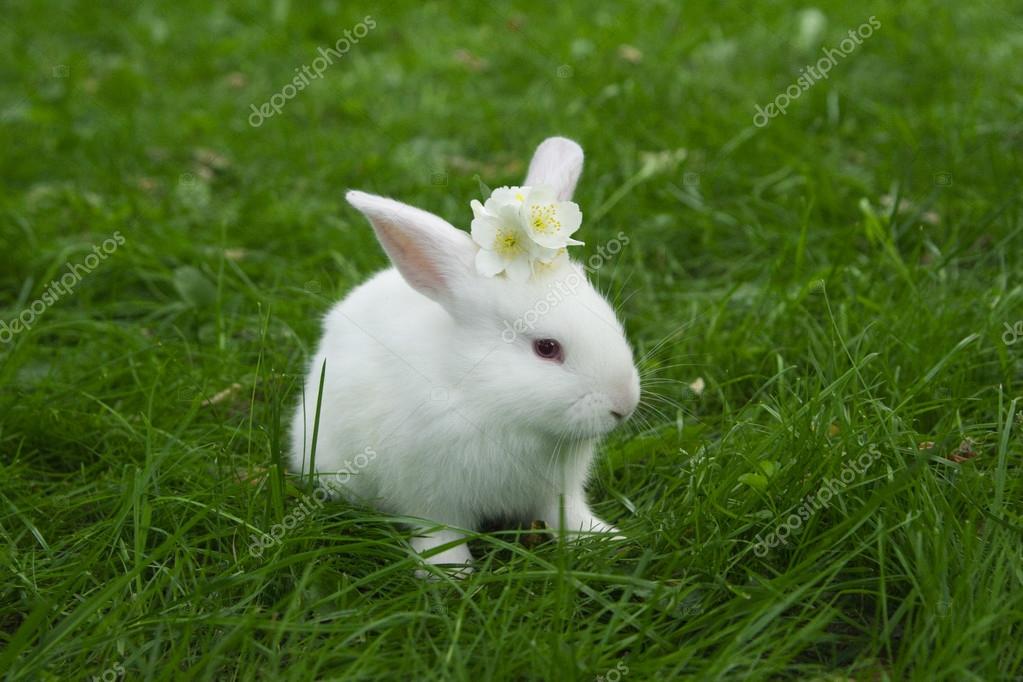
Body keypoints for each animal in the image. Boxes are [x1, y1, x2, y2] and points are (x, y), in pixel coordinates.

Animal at [289, 137, 640, 575]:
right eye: (546, 348)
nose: (624, 405)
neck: (488, 398)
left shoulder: (556, 491)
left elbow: (565, 515)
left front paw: (604, 540)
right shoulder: (431, 496)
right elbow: (441, 533)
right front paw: (448, 574)